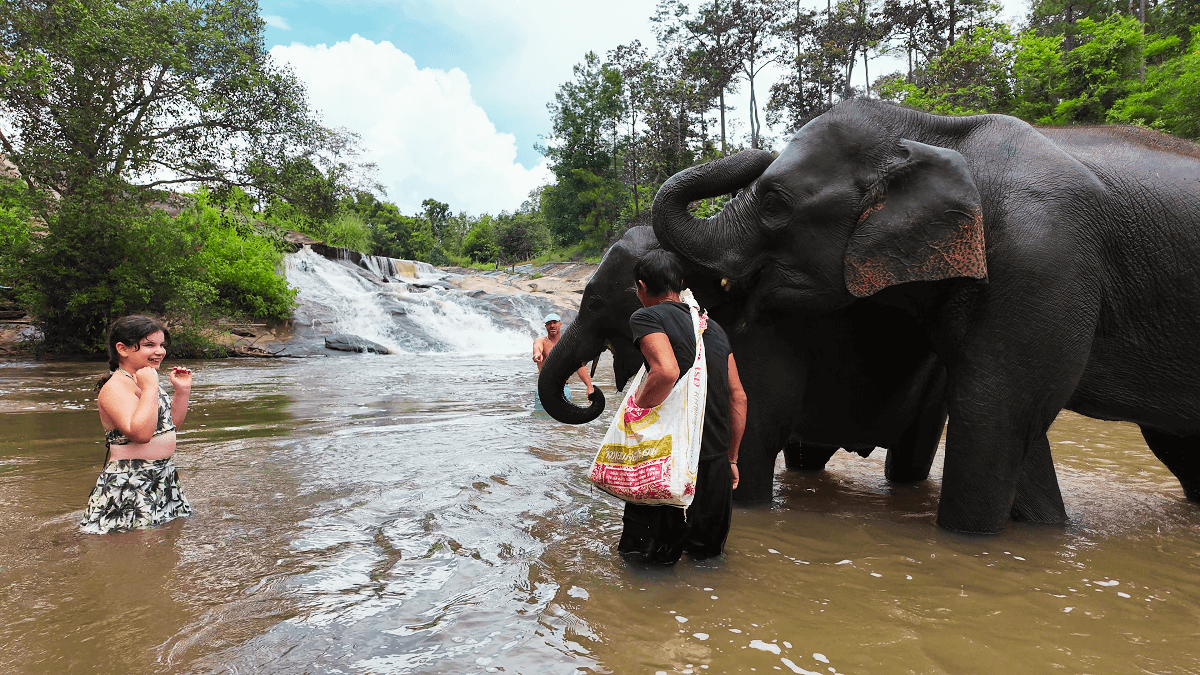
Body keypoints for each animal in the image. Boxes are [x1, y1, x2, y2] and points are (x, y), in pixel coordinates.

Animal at [652, 97, 1200, 534]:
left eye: (773, 204)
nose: (758, 153)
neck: (936, 129)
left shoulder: (1042, 260)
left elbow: (997, 413)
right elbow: (1015, 423)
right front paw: (1048, 530)